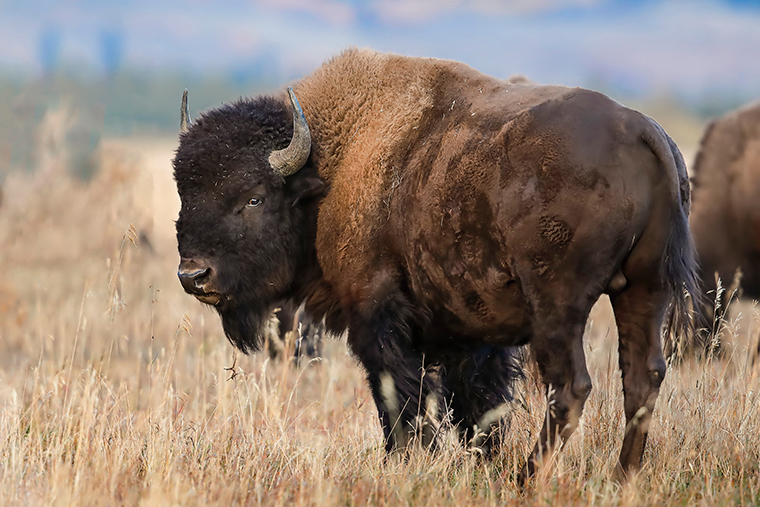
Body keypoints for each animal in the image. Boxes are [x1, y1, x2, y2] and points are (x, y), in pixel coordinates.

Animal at [173, 49, 698, 481]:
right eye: (185, 194)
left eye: (253, 198)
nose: (194, 275)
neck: (328, 168)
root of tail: (642, 132)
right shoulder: (468, 334)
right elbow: (477, 408)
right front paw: (477, 462)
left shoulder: (378, 317)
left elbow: (399, 402)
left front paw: (405, 463)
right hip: (644, 289)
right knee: (643, 377)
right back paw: (622, 478)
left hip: (559, 305)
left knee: (572, 387)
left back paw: (526, 479)